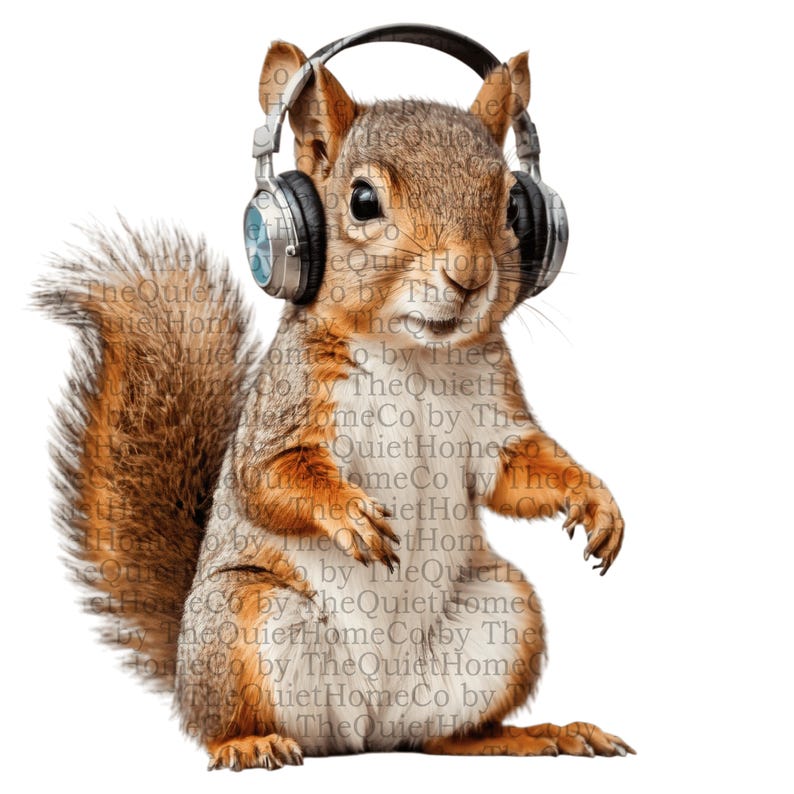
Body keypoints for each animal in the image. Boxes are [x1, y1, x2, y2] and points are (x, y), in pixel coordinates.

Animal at [36, 36, 633, 771]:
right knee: (229, 718)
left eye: (508, 206)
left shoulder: (492, 416)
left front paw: (595, 498)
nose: (467, 274)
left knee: (441, 735)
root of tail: (366, 730)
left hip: (502, 615)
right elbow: (269, 475)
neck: (412, 355)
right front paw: (349, 513)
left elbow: (515, 471)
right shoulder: (290, 403)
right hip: (241, 613)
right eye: (364, 201)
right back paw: (251, 741)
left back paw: (531, 734)